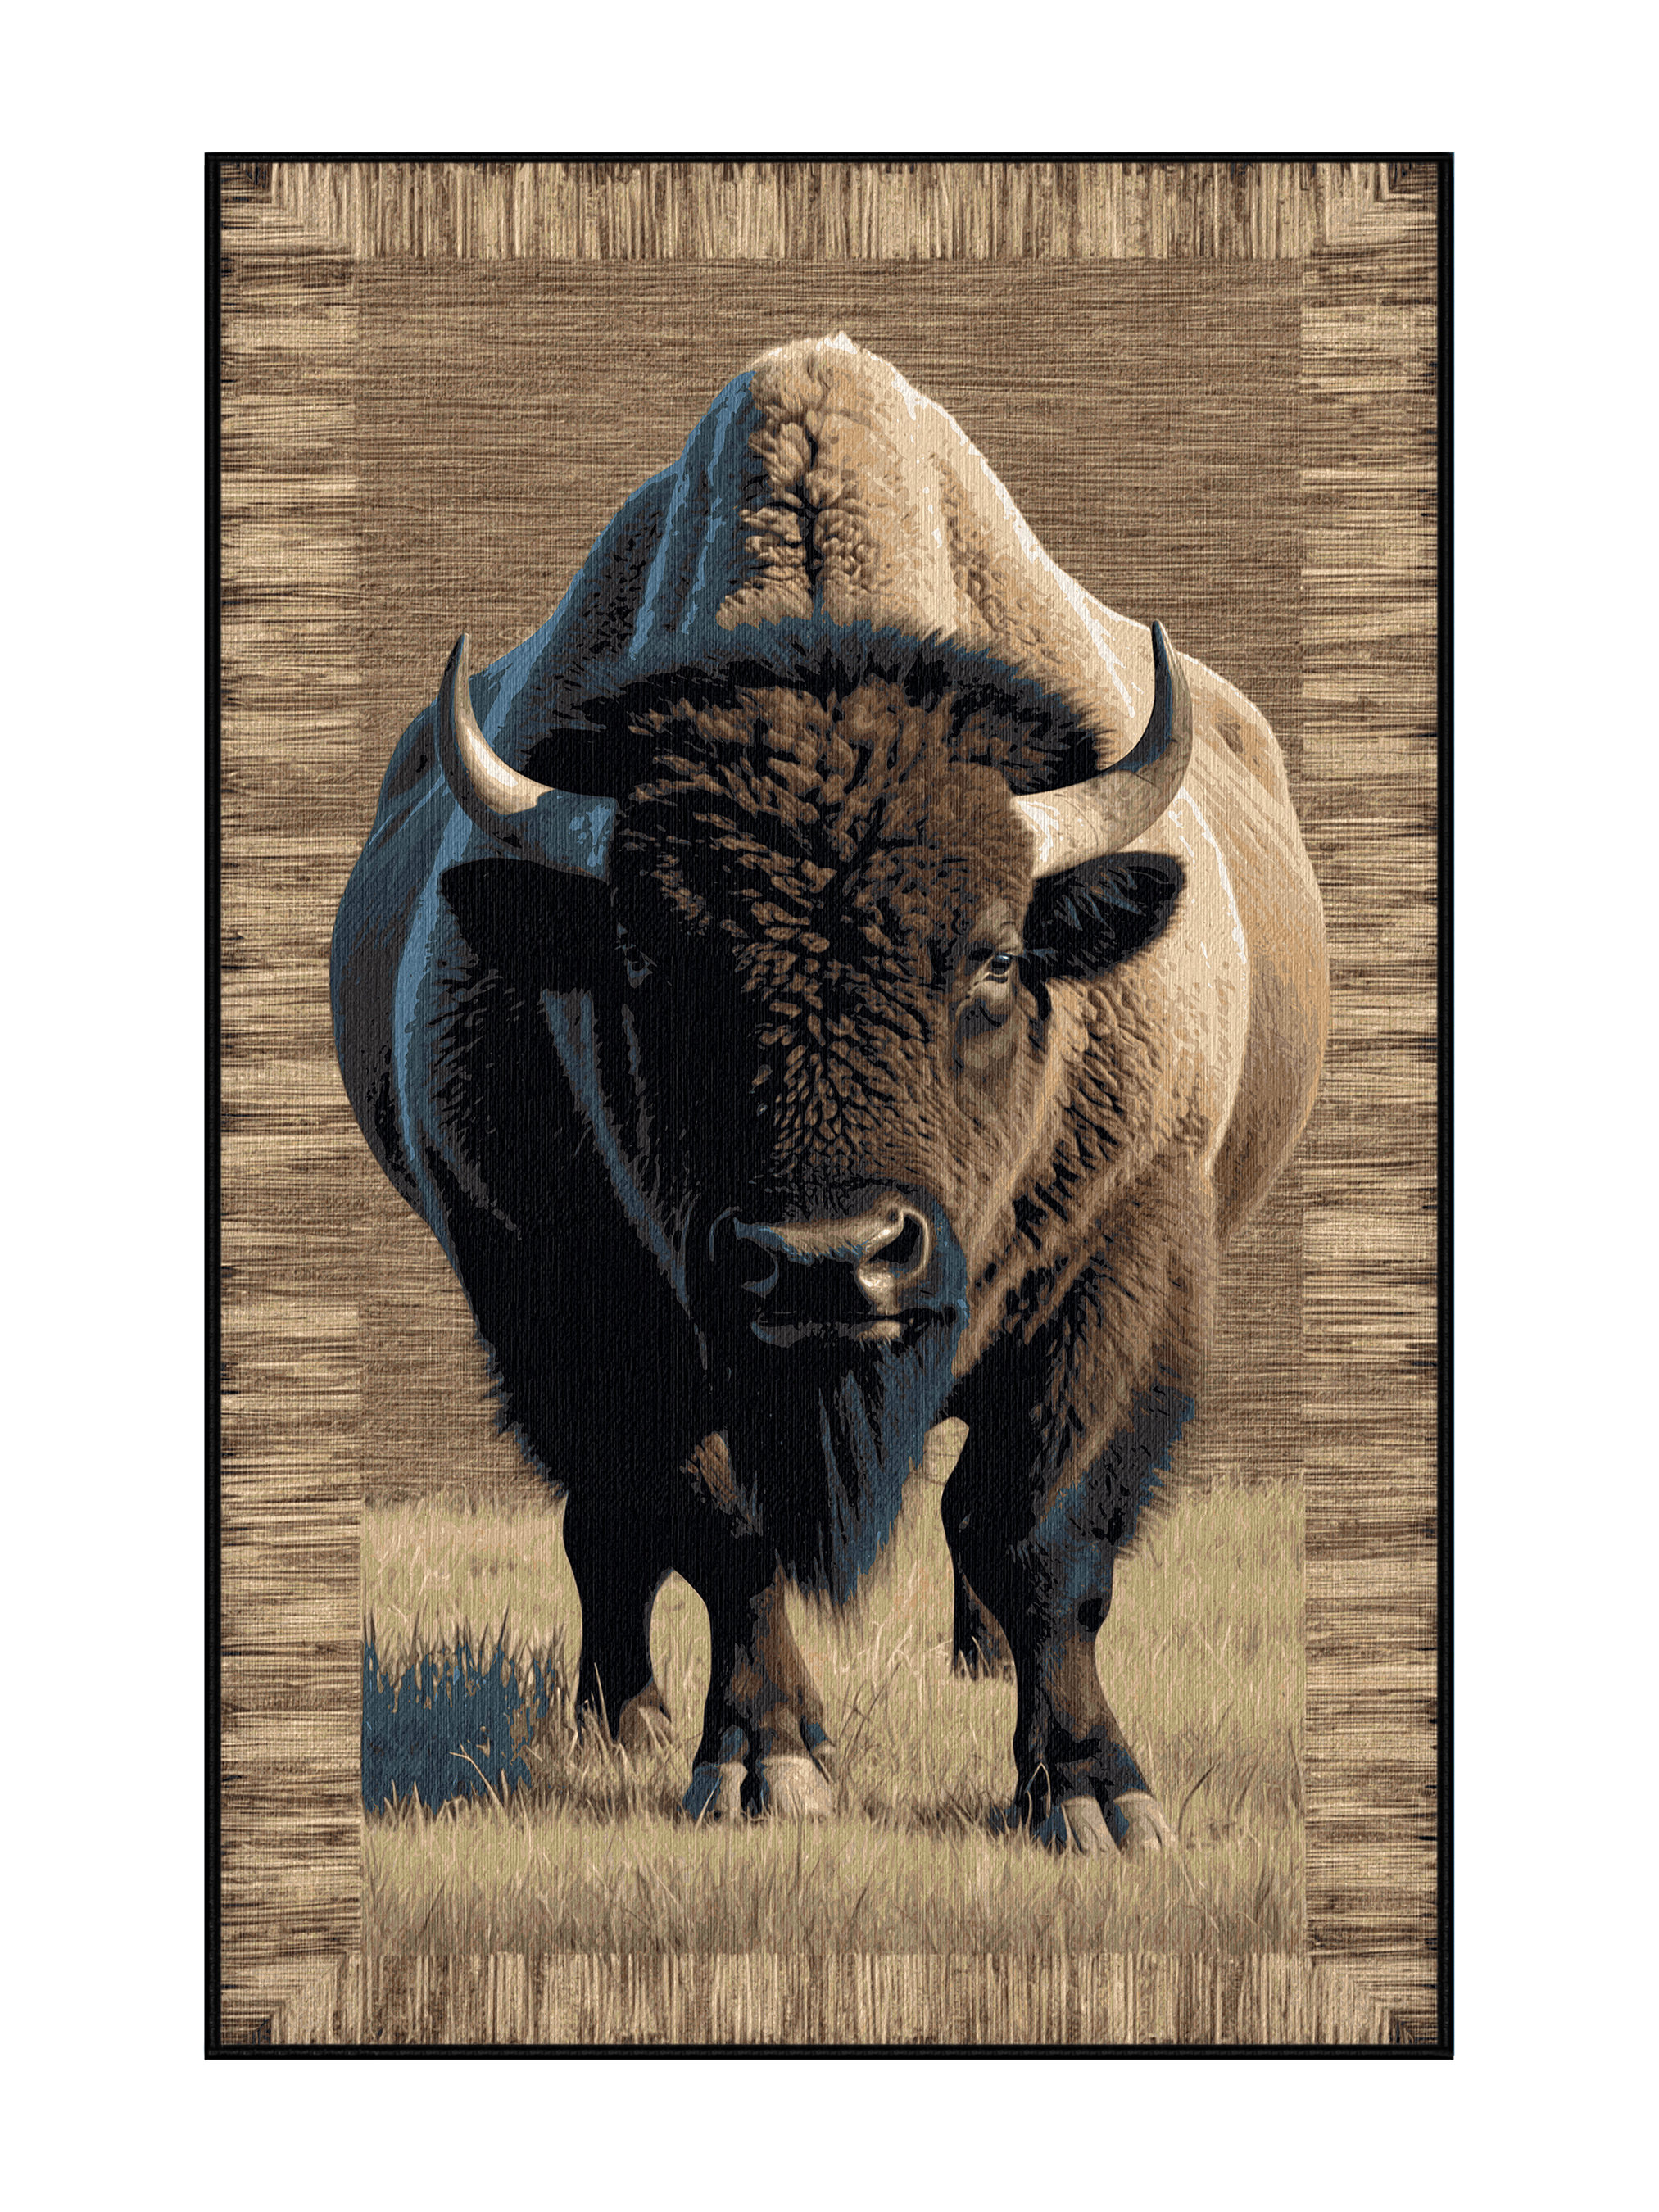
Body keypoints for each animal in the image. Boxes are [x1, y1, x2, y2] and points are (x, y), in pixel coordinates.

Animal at [332, 334, 1328, 1854]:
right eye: (642, 961)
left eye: (995, 958)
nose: (827, 1260)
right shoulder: (570, 1293)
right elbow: (709, 1521)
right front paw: (764, 1763)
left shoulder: (1127, 1258)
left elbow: (1036, 1528)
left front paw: (1094, 1795)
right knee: (603, 1526)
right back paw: (617, 1718)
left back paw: (966, 1662)